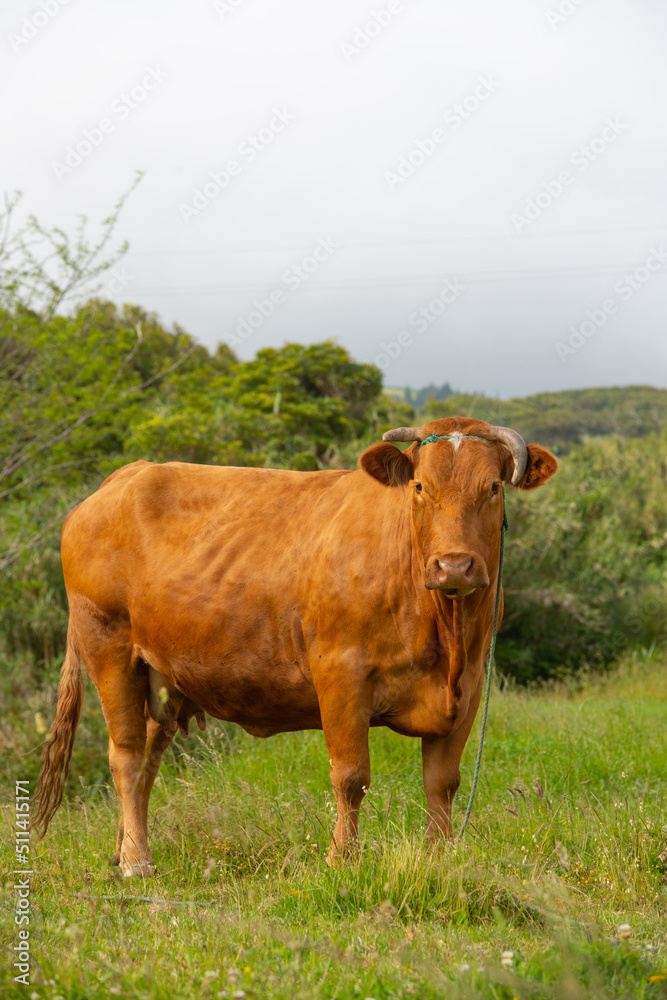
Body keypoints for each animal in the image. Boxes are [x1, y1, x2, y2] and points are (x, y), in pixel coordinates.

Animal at [33, 417, 557, 875]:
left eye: (492, 488)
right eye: (420, 488)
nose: (453, 566)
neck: (442, 631)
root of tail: (127, 474)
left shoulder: (469, 686)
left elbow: (442, 785)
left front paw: (439, 859)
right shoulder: (341, 675)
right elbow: (351, 777)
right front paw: (342, 860)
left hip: (161, 676)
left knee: (146, 762)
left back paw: (124, 851)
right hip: (109, 649)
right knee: (125, 756)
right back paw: (137, 863)